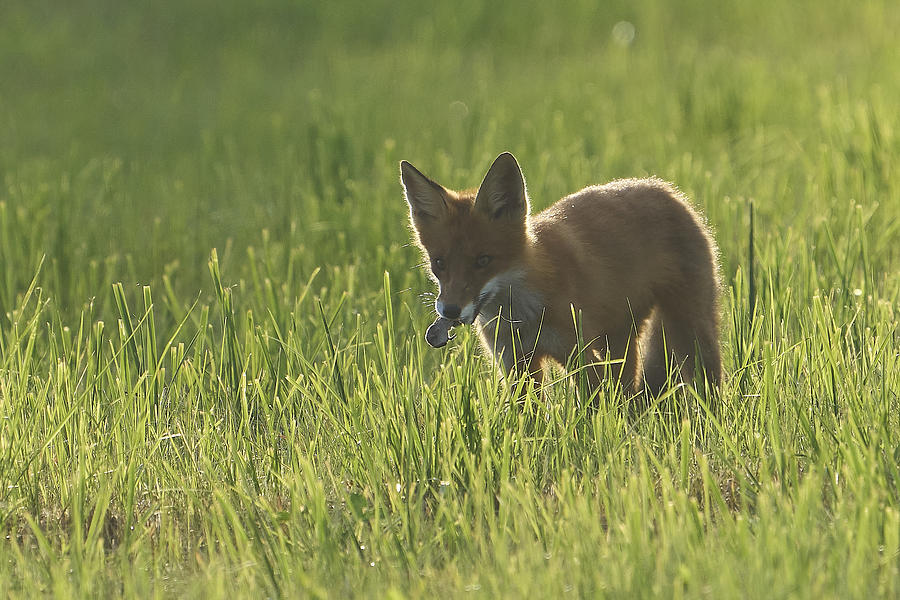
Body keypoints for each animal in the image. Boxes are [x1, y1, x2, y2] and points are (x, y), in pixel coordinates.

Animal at [400, 152, 722, 396]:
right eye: (439, 263)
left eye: (483, 260)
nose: (450, 310)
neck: (523, 315)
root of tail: (662, 187)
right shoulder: (516, 365)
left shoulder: (579, 355)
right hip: (618, 339)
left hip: (694, 331)